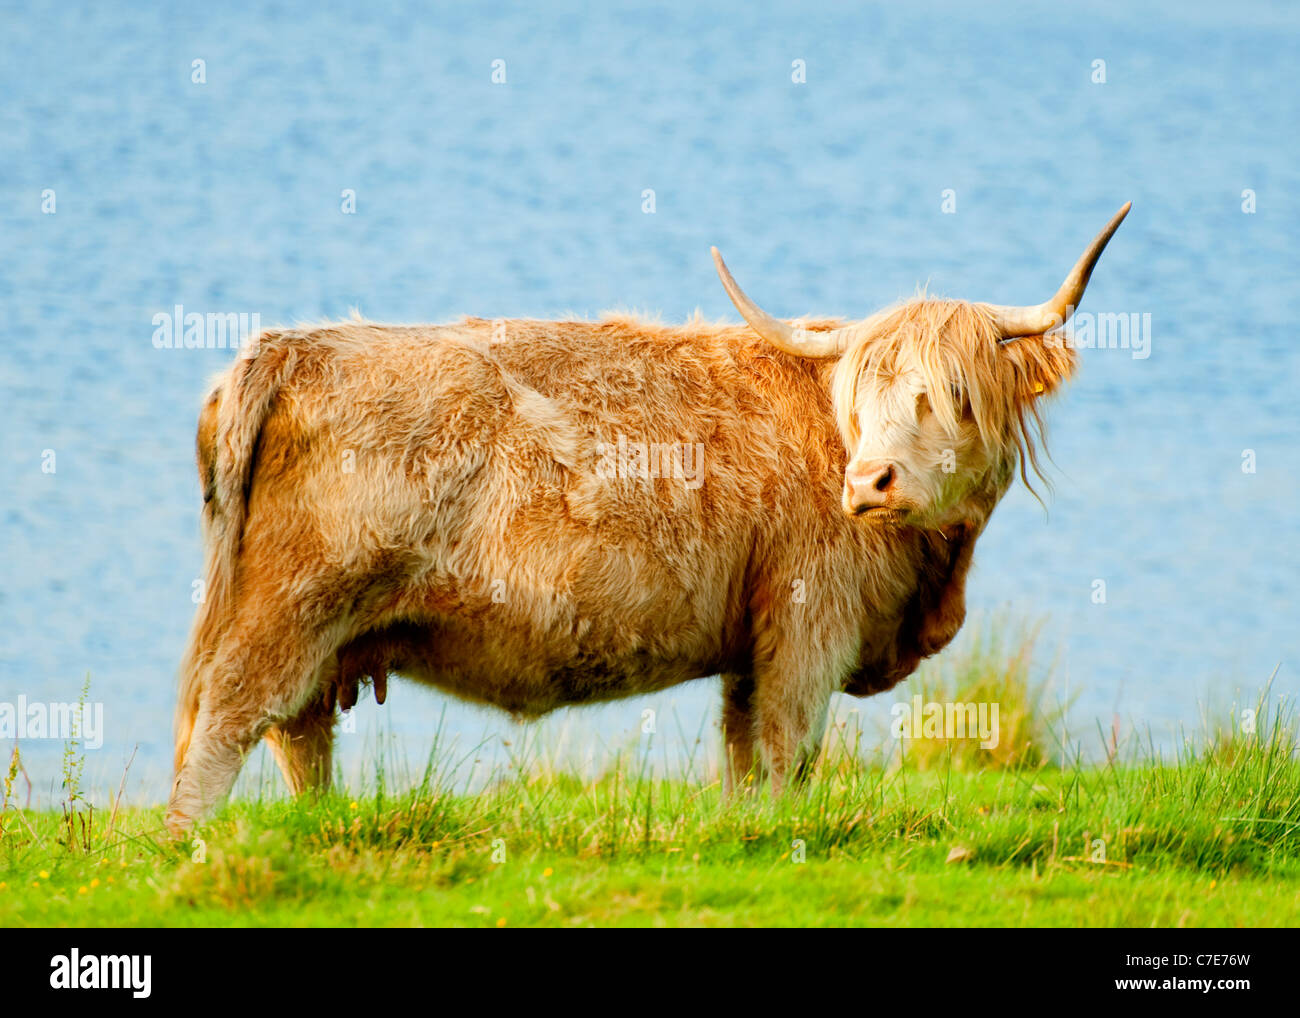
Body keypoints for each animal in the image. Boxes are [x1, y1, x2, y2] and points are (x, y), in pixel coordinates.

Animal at [165, 204, 1130, 835]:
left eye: (956, 396)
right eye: (864, 400)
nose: (870, 482)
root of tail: (284, 347)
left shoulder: (754, 644)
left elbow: (744, 759)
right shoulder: (809, 628)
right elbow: (789, 751)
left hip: (321, 636)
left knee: (299, 739)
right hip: (288, 610)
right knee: (222, 729)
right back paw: (192, 849)